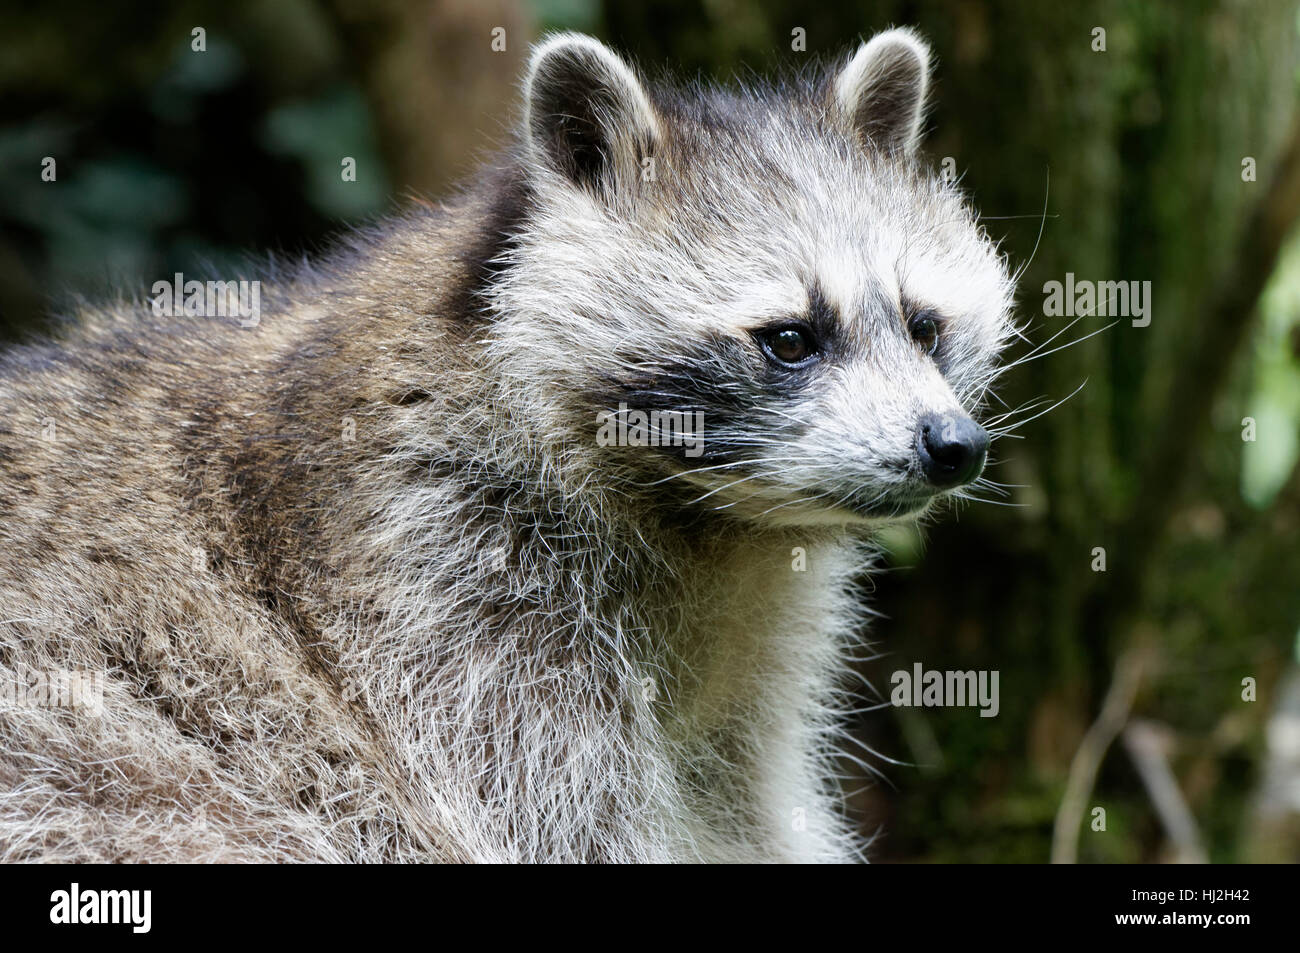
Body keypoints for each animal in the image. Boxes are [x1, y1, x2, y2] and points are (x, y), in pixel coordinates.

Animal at [0, 29, 1013, 863]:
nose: (951, 445)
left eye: (924, 325)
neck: (716, 527)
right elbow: (548, 822)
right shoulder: (440, 586)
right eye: (791, 339)